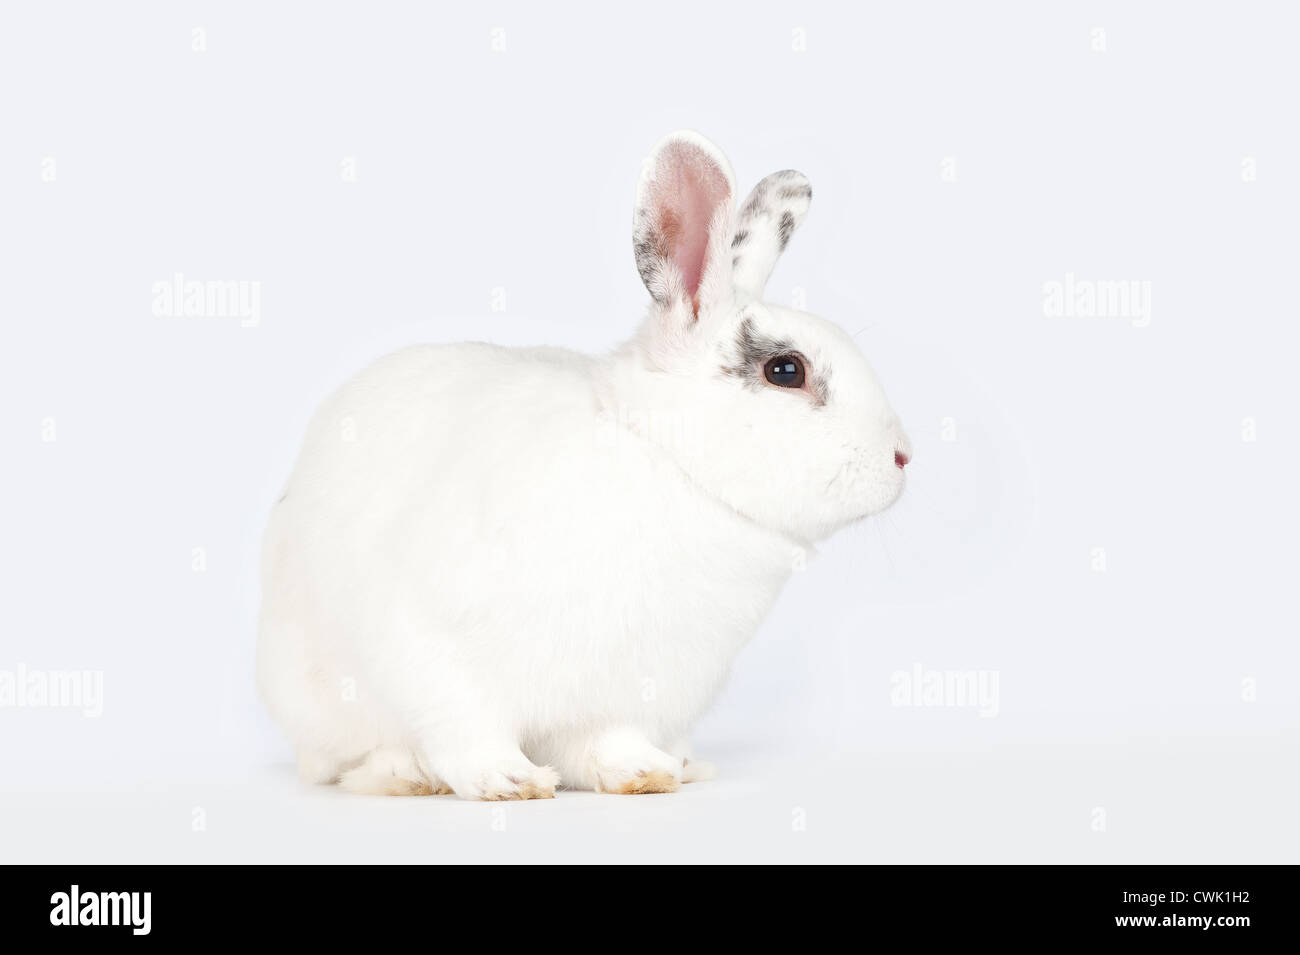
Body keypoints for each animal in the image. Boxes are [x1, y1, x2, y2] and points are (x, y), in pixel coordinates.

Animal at [256, 130, 911, 799]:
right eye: (785, 370)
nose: (901, 458)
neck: (664, 459)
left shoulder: (622, 696)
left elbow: (606, 742)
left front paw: (644, 775)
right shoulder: (435, 646)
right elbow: (466, 732)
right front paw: (510, 782)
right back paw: (405, 775)